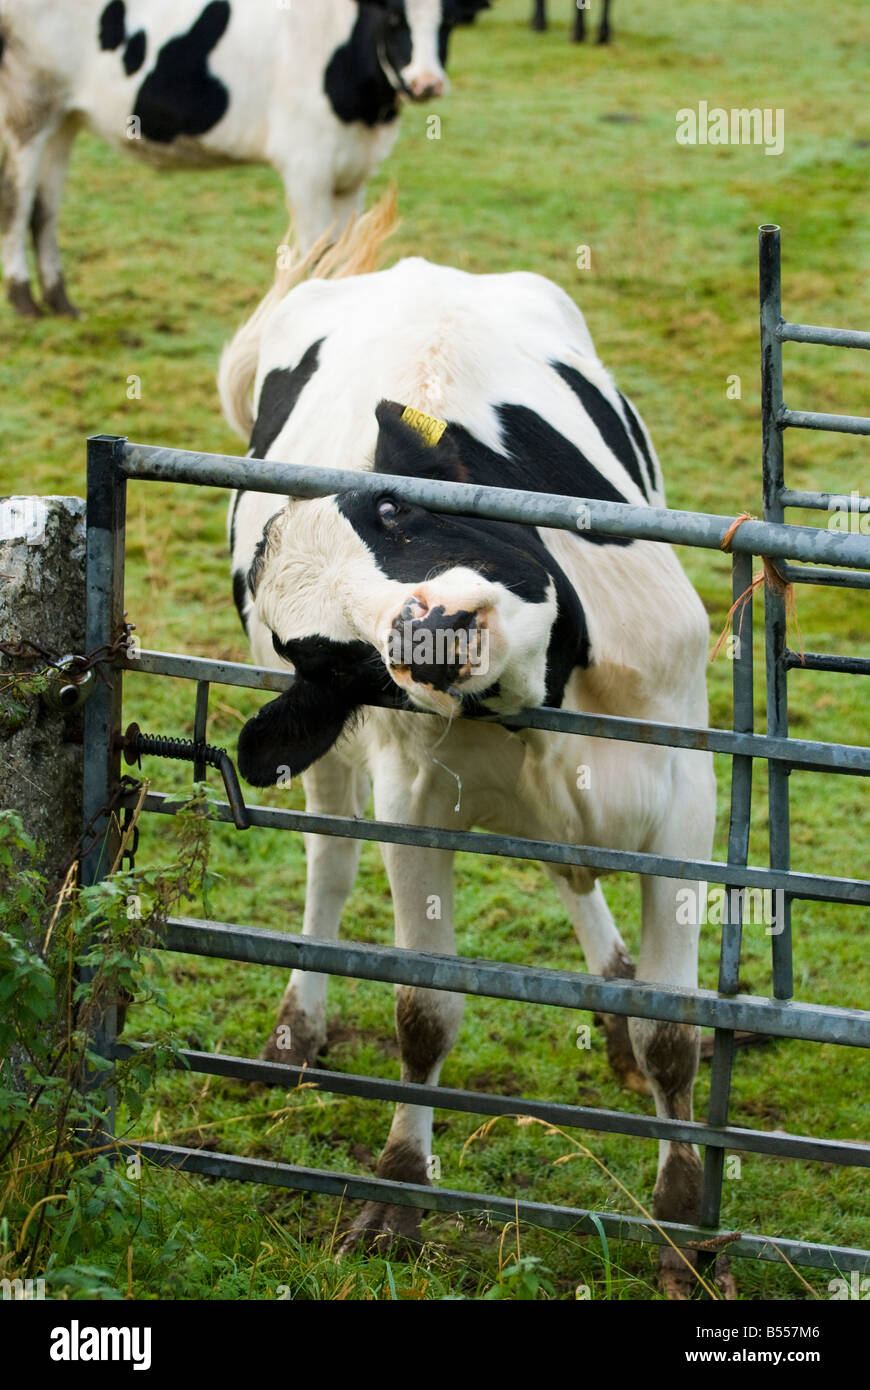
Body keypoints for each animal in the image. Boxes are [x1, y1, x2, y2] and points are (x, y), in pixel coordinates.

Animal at [0, 0, 483, 317]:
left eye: (449, 21)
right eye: (395, 18)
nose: (426, 83)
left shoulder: (354, 174)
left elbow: (346, 258)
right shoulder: (307, 168)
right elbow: (316, 256)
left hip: (64, 117)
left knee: (45, 208)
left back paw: (60, 301)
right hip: (29, 105)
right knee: (18, 202)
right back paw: (25, 301)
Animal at [219, 196, 719, 1297]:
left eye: (394, 508)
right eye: (335, 657)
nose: (428, 630)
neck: (547, 687)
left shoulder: (683, 793)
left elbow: (673, 1035)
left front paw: (684, 1229)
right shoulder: (414, 806)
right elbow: (425, 1014)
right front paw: (398, 1197)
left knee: (571, 869)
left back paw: (611, 993)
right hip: (333, 773)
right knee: (330, 860)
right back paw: (297, 1026)